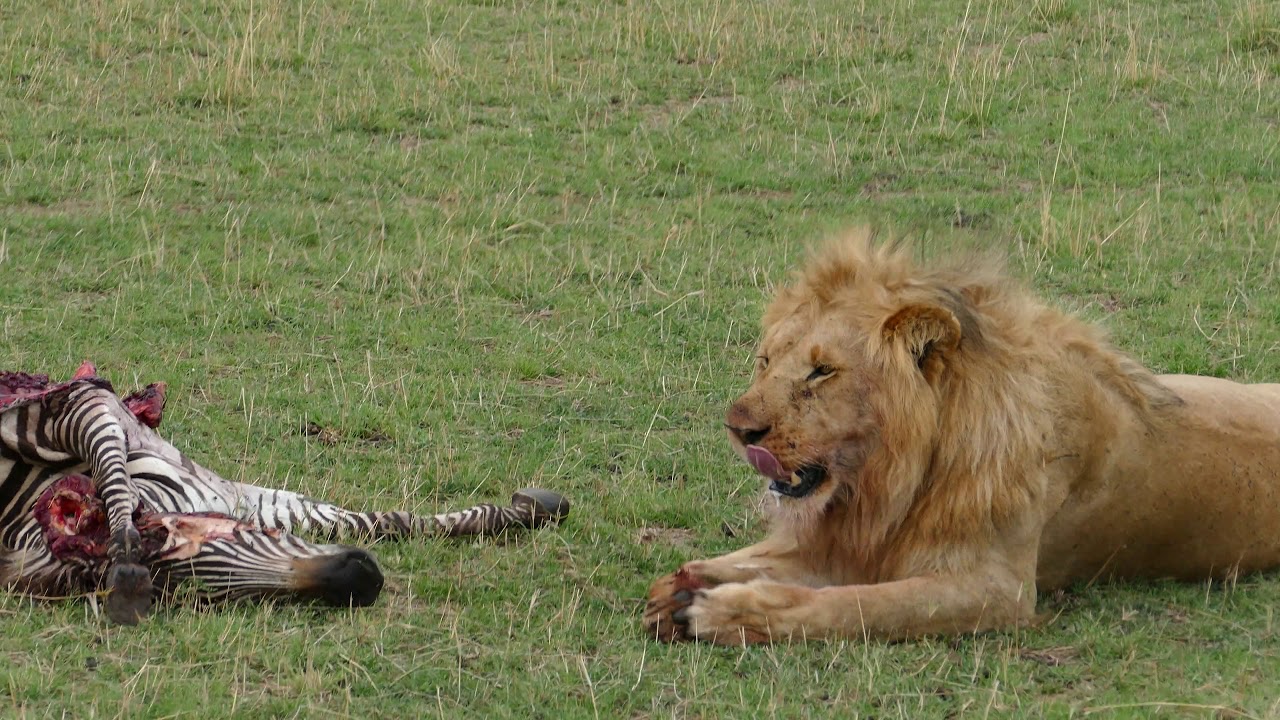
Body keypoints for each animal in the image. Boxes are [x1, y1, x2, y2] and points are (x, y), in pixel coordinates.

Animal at [0, 362, 569, 624]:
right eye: (196, 597)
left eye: (183, 538)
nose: (362, 581)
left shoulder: (77, 406)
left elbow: (372, 520)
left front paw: (527, 509)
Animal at [643, 229, 1280, 645]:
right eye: (766, 361)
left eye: (822, 372)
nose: (738, 428)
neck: (892, 480)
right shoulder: (854, 539)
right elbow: (769, 556)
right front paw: (684, 585)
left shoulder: (996, 588)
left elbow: (858, 606)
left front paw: (728, 614)